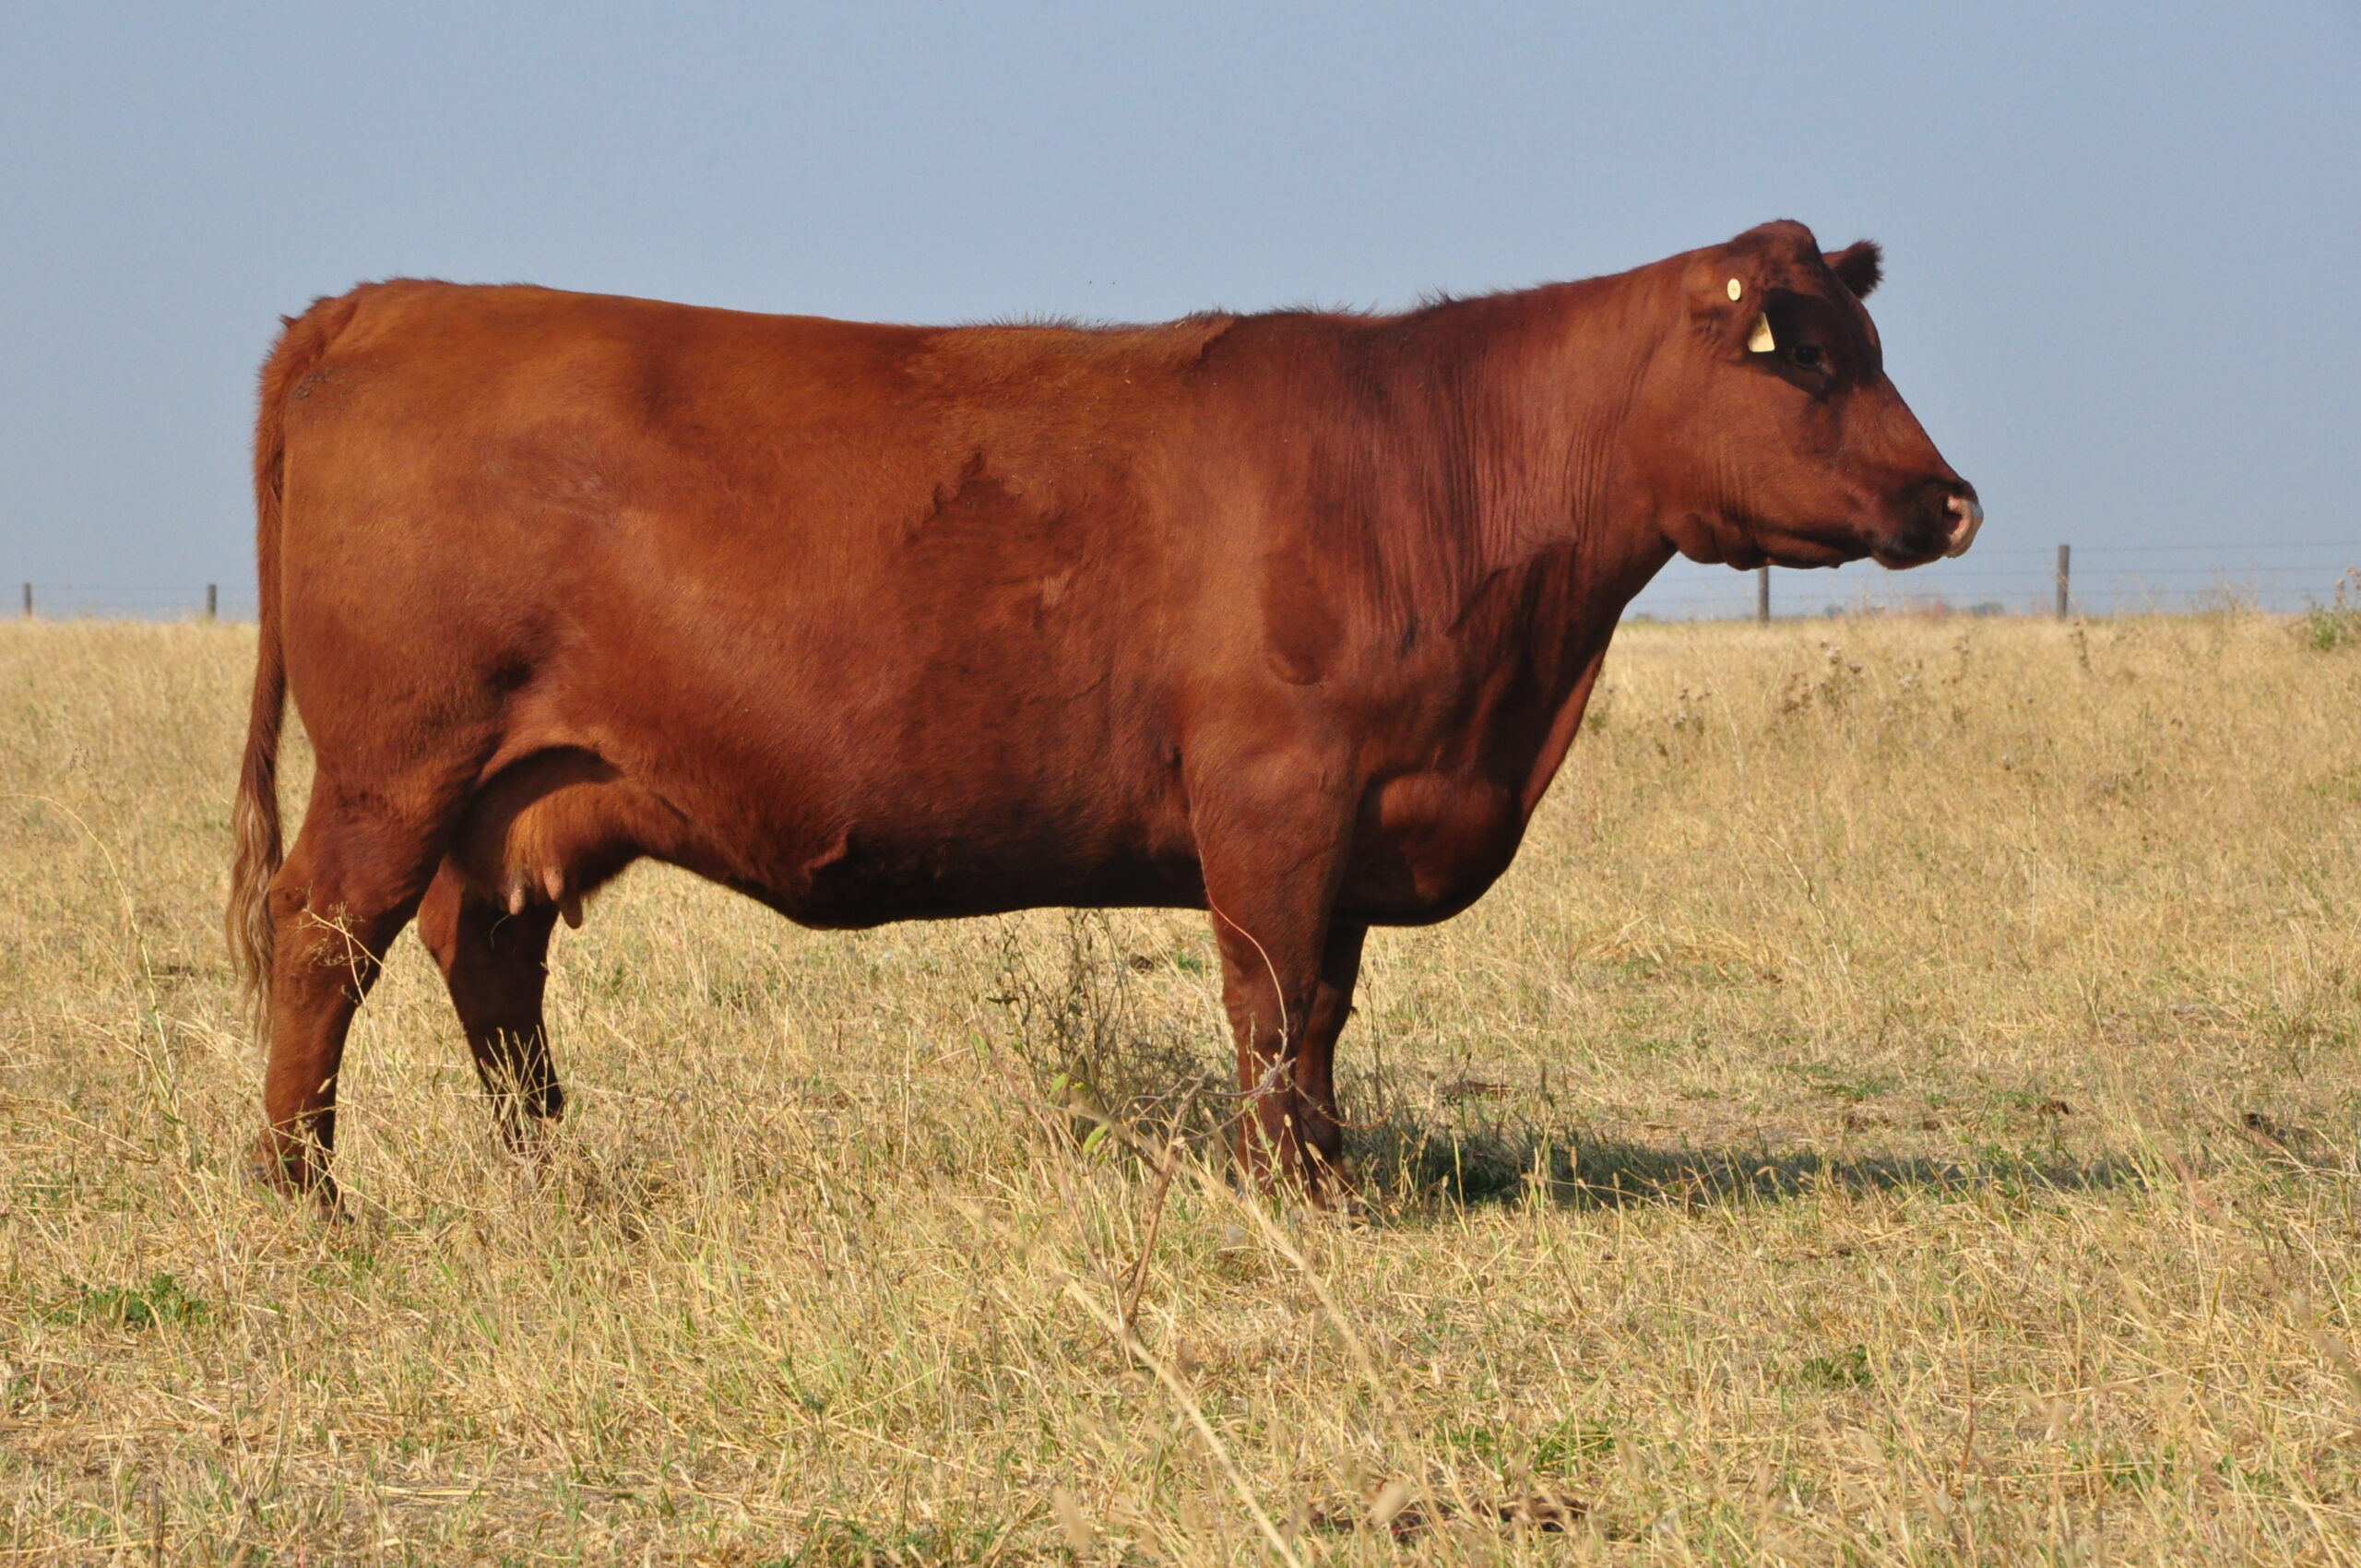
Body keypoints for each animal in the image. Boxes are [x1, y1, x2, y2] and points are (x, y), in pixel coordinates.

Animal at [228, 219, 1979, 1207]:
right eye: (1809, 359)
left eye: (1876, 343)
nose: (1953, 502)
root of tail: (383, 303)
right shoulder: (1275, 798)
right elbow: (1272, 1006)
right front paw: (1290, 1198)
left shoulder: (1358, 822)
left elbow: (1325, 1013)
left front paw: (1334, 1179)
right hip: (397, 760)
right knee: (323, 941)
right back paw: (304, 1196)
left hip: (506, 789)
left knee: (486, 960)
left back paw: (546, 1173)